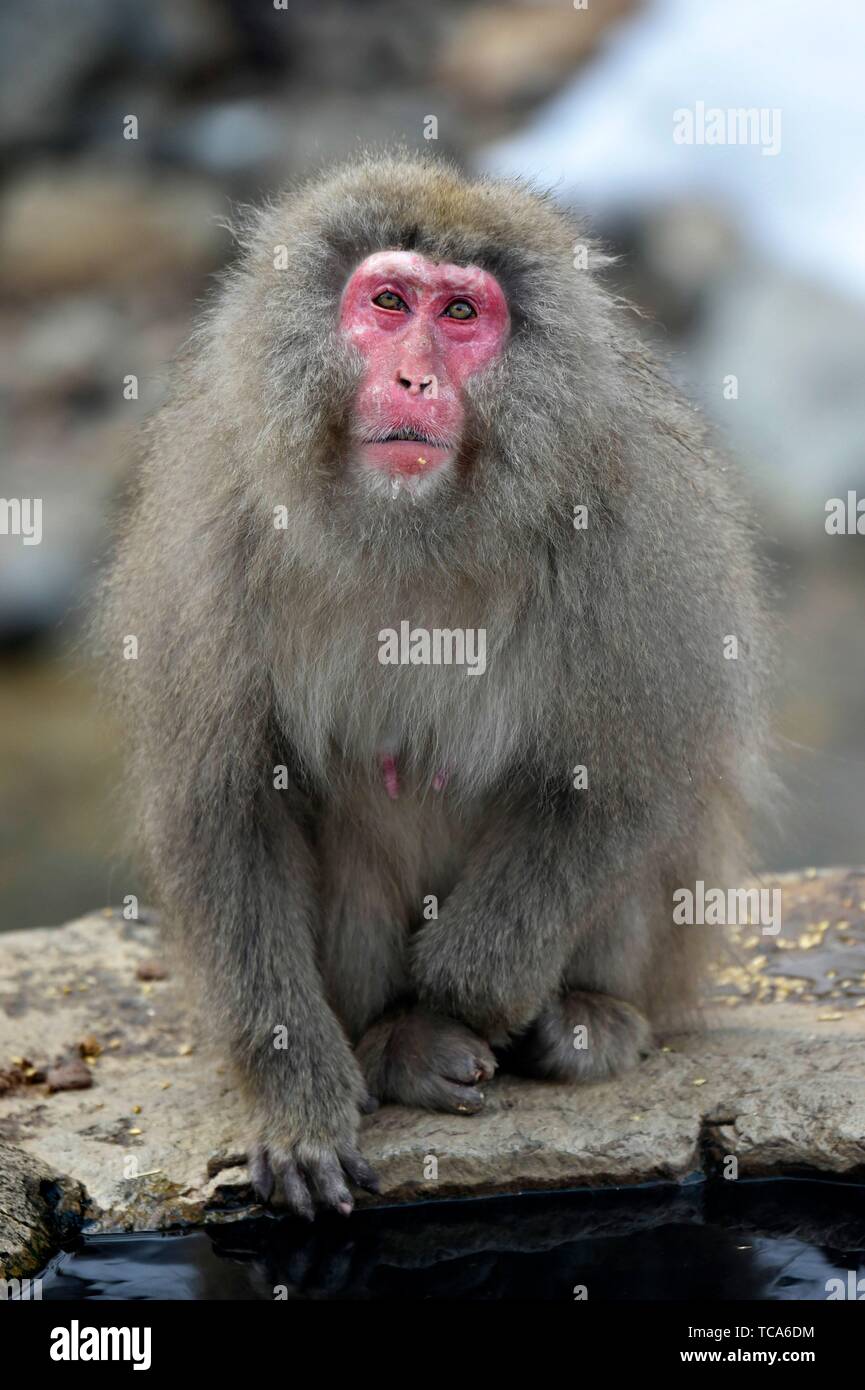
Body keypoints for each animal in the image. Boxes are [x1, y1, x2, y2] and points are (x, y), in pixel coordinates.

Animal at [100, 153, 772, 1220]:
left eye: (460, 313)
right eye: (387, 302)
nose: (414, 374)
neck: (412, 519)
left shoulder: (633, 512)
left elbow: (629, 772)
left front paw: (466, 988)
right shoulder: (214, 516)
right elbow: (224, 805)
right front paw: (299, 1101)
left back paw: (578, 1019)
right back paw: (397, 1046)